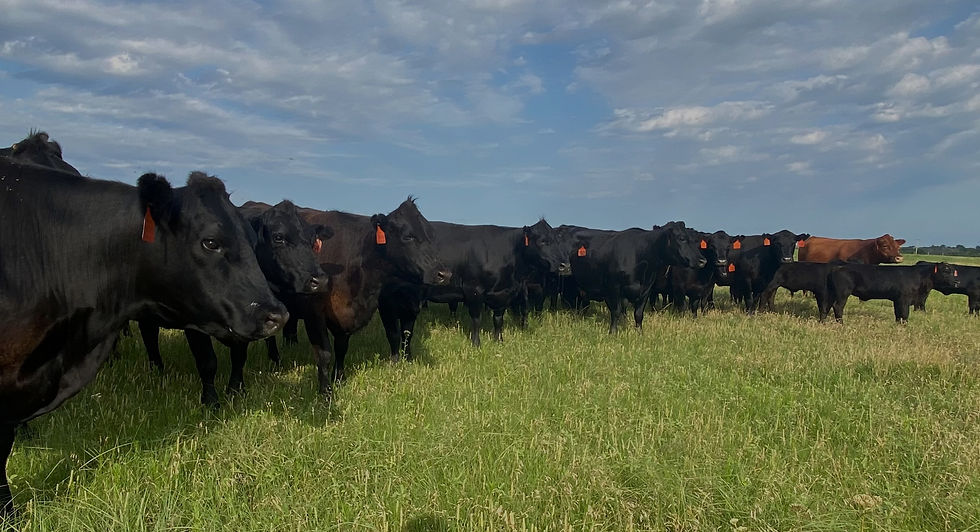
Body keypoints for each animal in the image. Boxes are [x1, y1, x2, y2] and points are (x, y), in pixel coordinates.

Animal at [137, 200, 328, 406]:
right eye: (278, 237)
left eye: (312, 241)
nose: (320, 280)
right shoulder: (195, 324)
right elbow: (207, 361)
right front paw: (211, 401)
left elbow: (239, 357)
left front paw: (236, 390)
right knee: (149, 336)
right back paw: (157, 371)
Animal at [267, 198, 450, 400]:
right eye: (408, 236)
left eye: (431, 235)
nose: (444, 274)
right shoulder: (314, 314)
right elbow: (324, 354)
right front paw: (326, 393)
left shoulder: (345, 317)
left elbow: (341, 348)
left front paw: (339, 378)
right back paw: (275, 362)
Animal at [568, 222, 706, 333]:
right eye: (681, 238)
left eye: (696, 241)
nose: (703, 261)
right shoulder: (614, 286)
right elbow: (616, 311)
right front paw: (613, 332)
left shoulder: (646, 289)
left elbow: (638, 314)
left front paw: (639, 332)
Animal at [828, 262, 959, 323]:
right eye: (945, 271)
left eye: (953, 271)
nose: (957, 281)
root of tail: (838, 267)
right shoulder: (904, 300)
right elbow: (904, 315)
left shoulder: (897, 300)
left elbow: (898, 314)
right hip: (843, 293)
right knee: (838, 306)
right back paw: (841, 323)